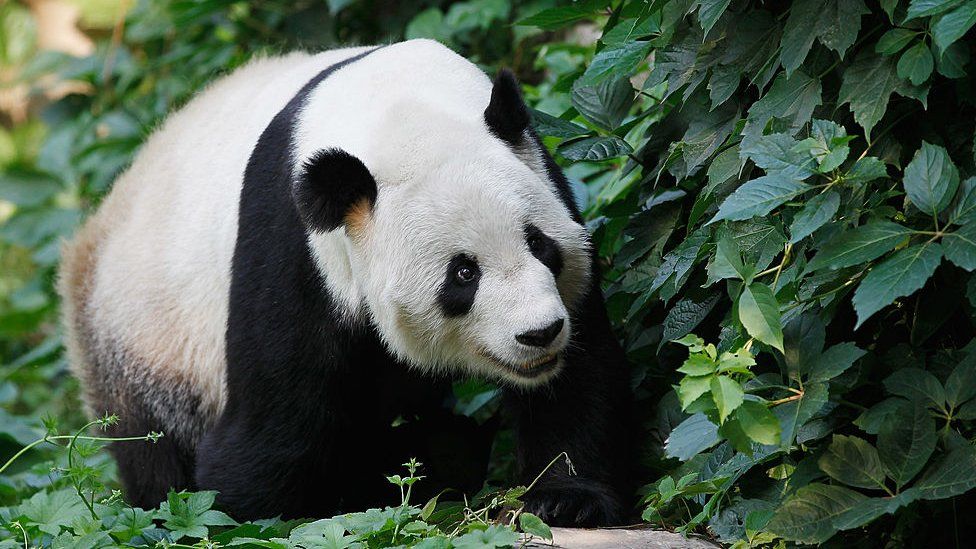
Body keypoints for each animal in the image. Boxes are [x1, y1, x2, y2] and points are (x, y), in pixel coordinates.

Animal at [58, 40, 632, 526]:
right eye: (463, 274)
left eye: (539, 244)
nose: (539, 334)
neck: (399, 113)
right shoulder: (295, 249)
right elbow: (275, 428)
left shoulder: (544, 182)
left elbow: (579, 376)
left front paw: (566, 499)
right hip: (142, 339)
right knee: (150, 444)